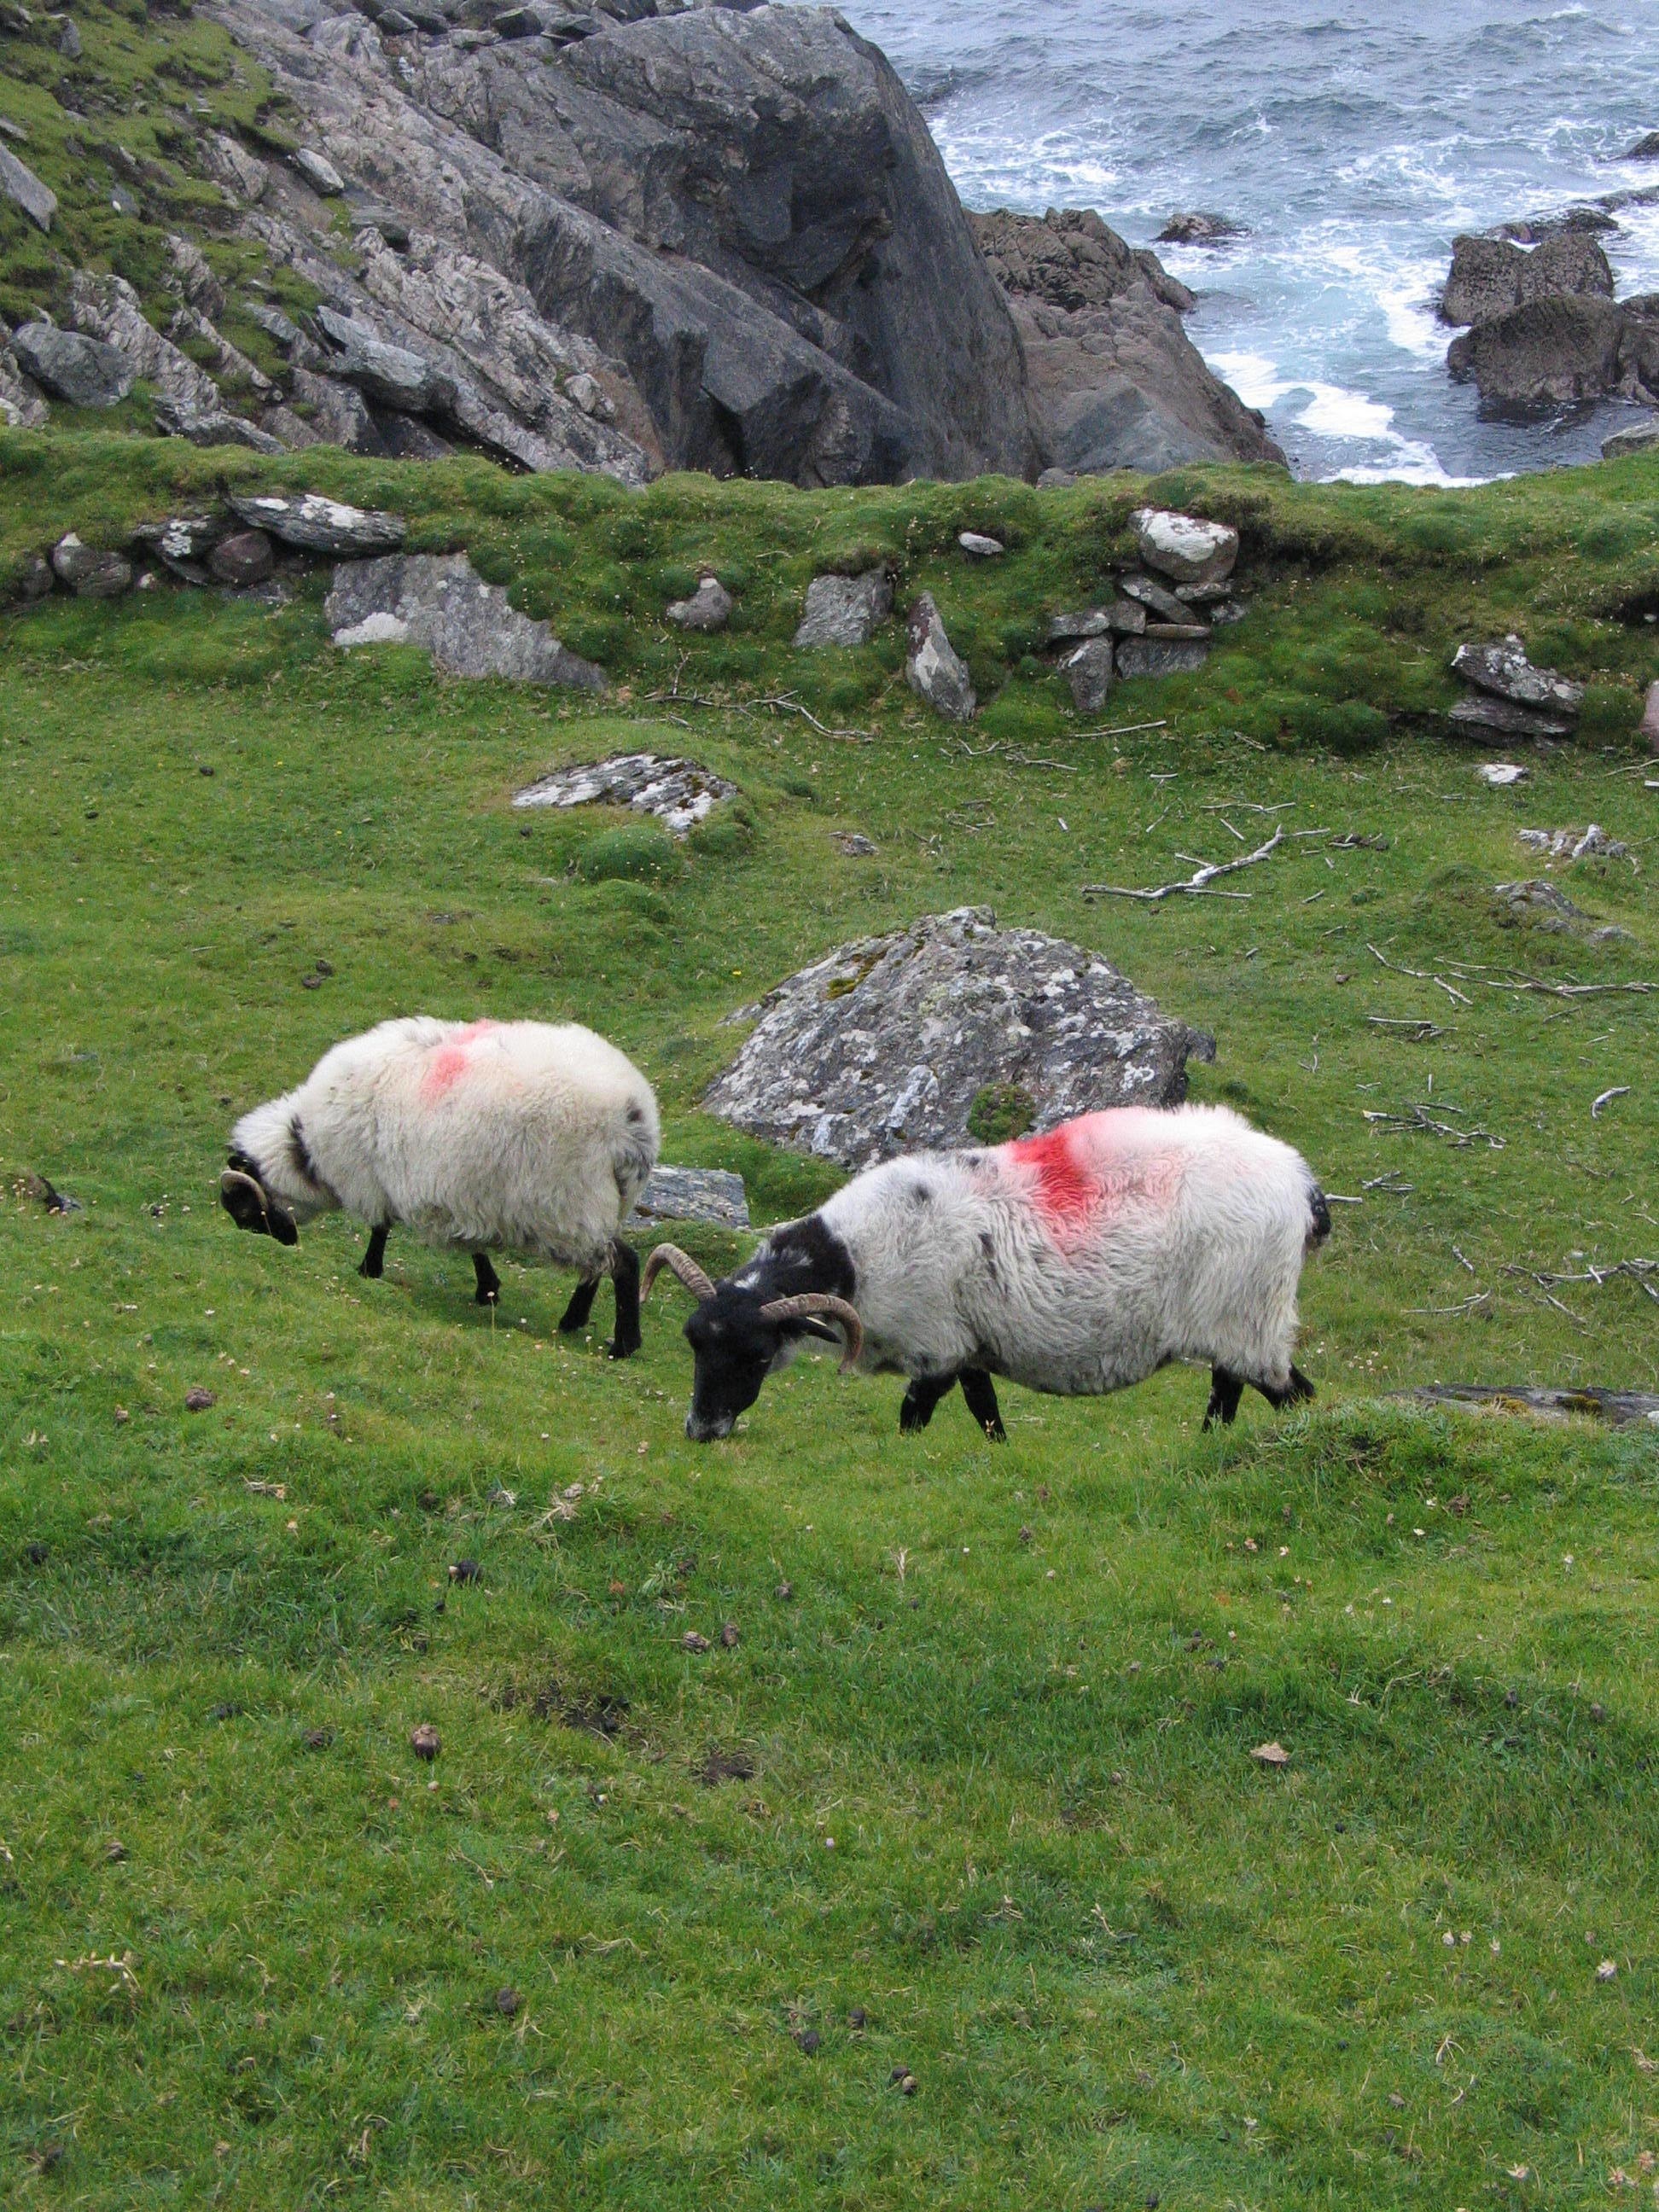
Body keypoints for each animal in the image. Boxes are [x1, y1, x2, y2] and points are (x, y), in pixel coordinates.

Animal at [219, 1016, 660, 1356]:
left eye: (246, 1210)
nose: (277, 1246)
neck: (307, 1147)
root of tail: (634, 1119)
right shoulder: (468, 1192)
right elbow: (475, 1246)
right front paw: (488, 1290)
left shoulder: (373, 1181)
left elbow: (379, 1229)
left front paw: (368, 1270)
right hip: (598, 1206)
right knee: (596, 1265)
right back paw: (573, 1320)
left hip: (572, 1200)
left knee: (622, 1261)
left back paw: (624, 1344)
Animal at [642, 1103, 1328, 1440]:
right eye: (694, 1342)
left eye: (757, 1355)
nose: (701, 1432)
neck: (855, 1257)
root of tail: (1301, 1183)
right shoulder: (968, 1345)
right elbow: (987, 1412)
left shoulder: (935, 1345)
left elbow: (914, 1417)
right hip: (1237, 1321)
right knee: (1232, 1390)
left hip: (1247, 1312)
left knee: (1286, 1392)